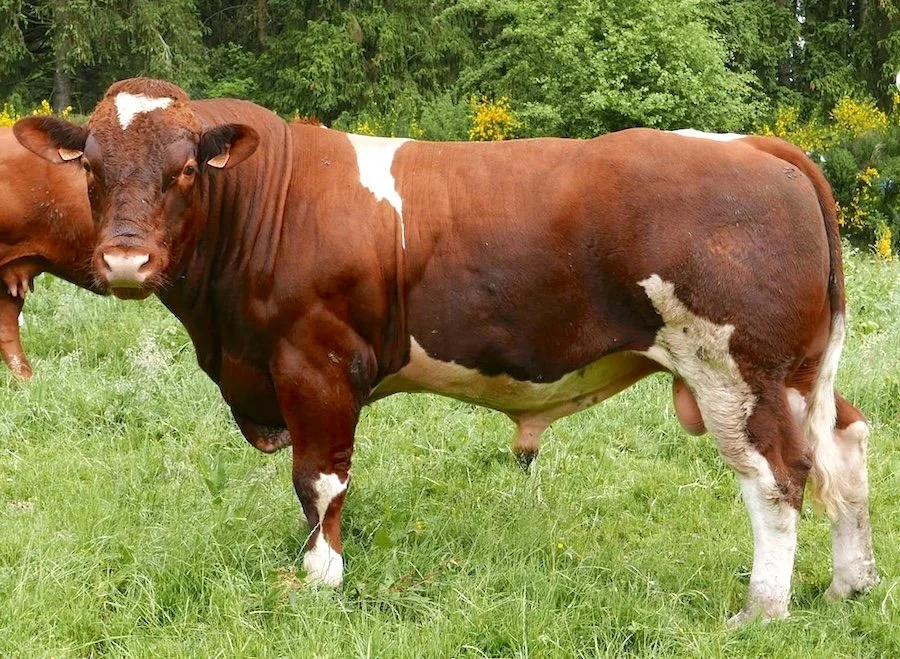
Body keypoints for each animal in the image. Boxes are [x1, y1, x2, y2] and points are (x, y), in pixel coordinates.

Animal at [14, 77, 876, 625]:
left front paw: (320, 576)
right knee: (845, 442)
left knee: (777, 477)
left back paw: (762, 610)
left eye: (187, 169)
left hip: (740, 369)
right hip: (800, 370)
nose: (127, 260)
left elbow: (320, 478)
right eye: (91, 167)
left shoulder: (315, 361)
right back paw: (850, 585)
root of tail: (758, 146)